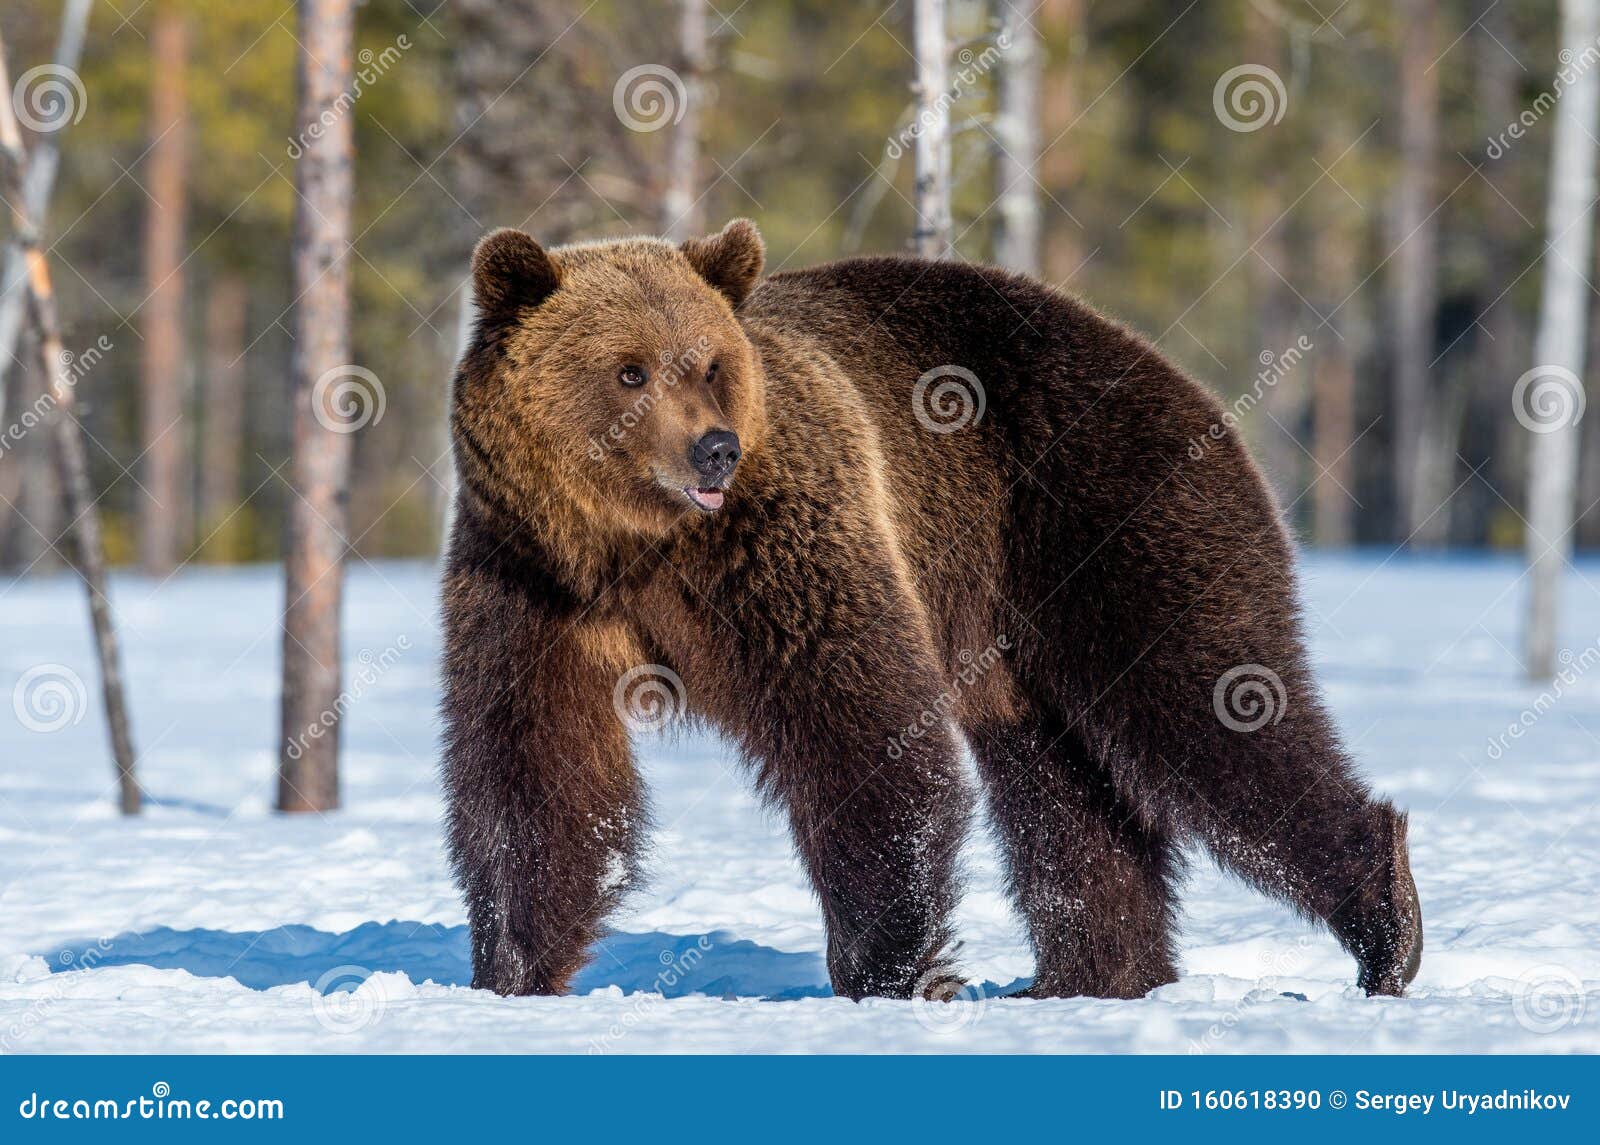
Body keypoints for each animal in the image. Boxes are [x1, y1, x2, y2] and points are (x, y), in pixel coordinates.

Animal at [441, 217, 1423, 1002]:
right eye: (630, 371)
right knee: (1065, 796)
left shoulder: (787, 548)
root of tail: (1165, 364)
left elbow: (865, 734)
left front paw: (888, 972)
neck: (632, 545)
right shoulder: (528, 580)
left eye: (711, 364)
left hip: (1104, 515)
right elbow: (535, 772)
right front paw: (512, 969)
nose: (713, 450)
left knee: (1208, 711)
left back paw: (1387, 923)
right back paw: (1090, 976)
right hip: (1019, 640)